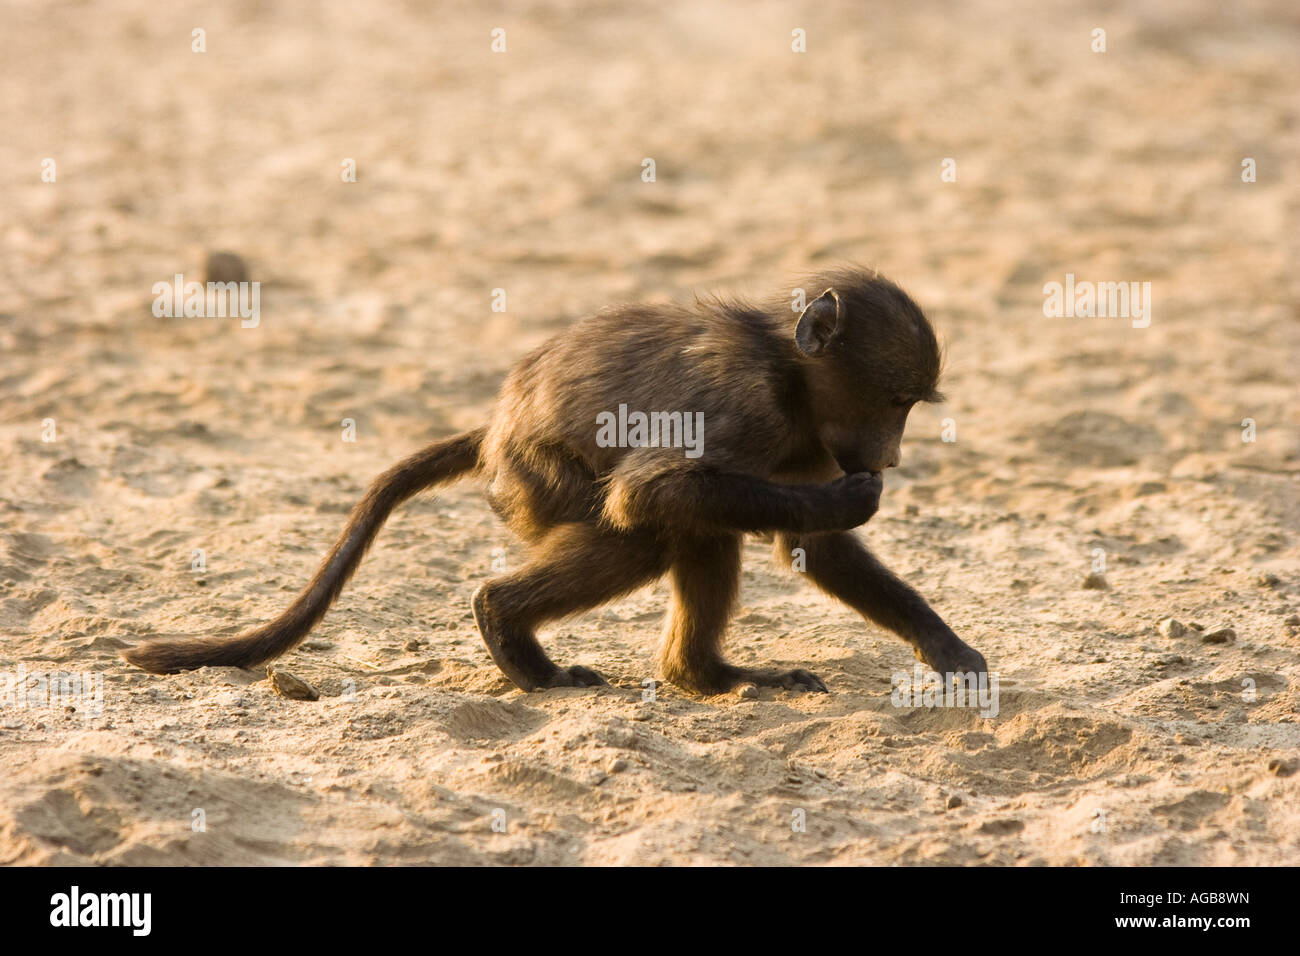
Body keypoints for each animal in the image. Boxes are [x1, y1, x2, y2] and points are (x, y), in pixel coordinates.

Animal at [122, 266, 989, 695]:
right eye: (895, 402)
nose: (890, 460)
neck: (789, 371)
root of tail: (496, 426)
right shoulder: (746, 408)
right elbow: (650, 493)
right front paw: (852, 500)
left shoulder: (808, 439)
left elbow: (816, 549)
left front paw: (945, 648)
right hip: (536, 479)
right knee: (658, 529)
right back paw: (511, 633)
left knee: (693, 533)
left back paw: (705, 677)